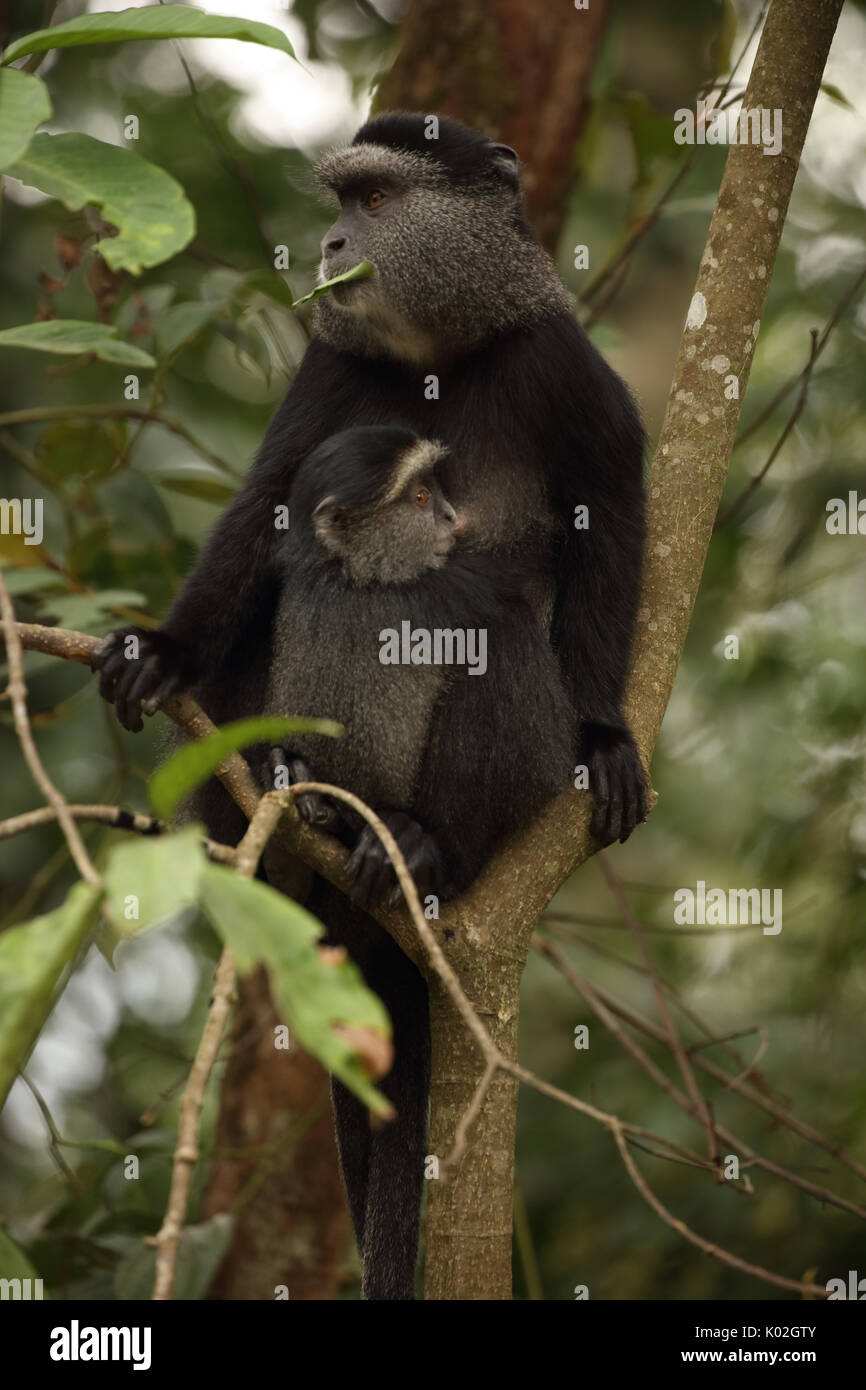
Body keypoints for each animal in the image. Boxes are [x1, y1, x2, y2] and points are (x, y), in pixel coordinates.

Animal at [92, 112, 648, 1298]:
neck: (441, 350)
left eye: (380, 200)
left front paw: (608, 735)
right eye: (342, 200)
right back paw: (280, 805)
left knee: (495, 641)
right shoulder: (332, 359)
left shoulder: (566, 365)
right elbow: (268, 505)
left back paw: (424, 844)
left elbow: (611, 516)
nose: (333, 245)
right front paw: (162, 651)